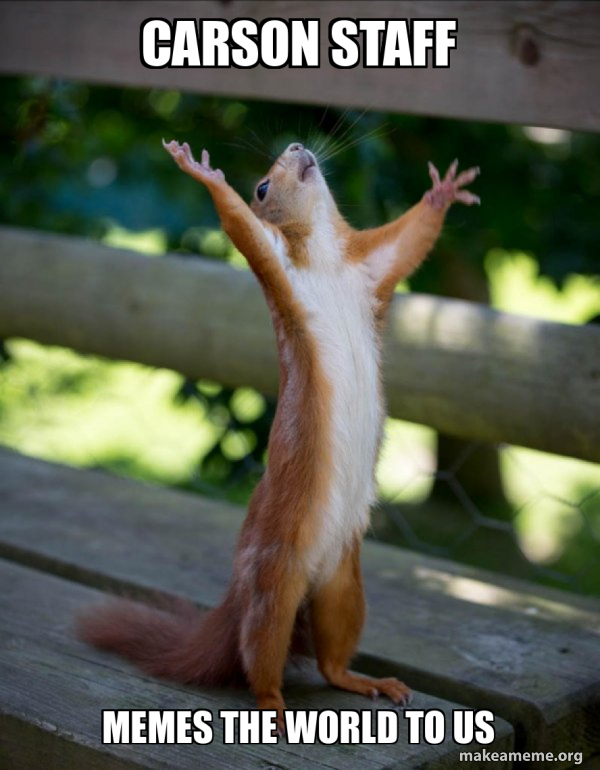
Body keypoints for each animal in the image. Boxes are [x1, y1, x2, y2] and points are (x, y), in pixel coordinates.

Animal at [78, 138, 479, 733]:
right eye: (262, 187)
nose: (296, 147)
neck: (326, 257)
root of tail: (239, 595)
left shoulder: (372, 267)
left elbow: (409, 240)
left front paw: (443, 192)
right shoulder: (277, 266)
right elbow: (240, 226)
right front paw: (204, 174)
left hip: (344, 586)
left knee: (331, 659)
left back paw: (366, 681)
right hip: (274, 583)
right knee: (258, 656)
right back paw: (274, 706)